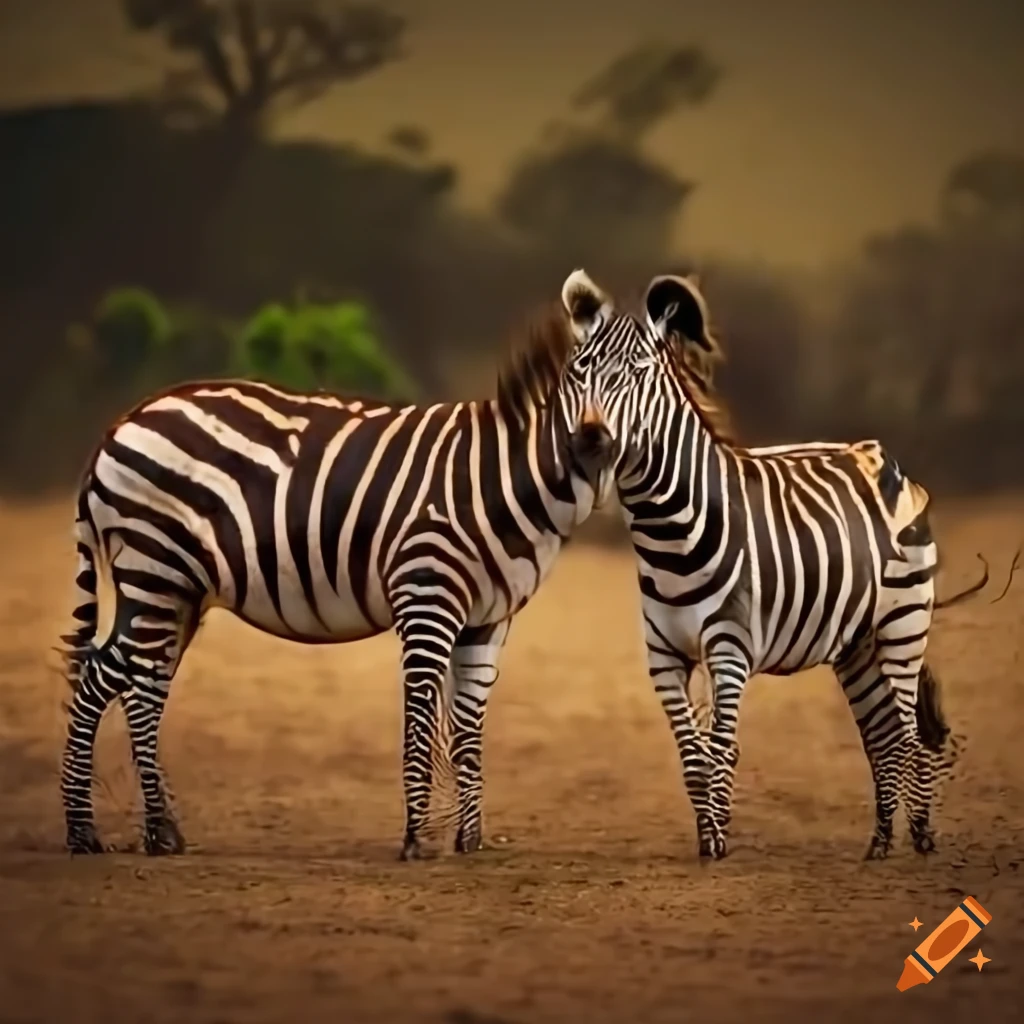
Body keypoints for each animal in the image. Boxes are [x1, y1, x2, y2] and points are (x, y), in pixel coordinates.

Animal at [58, 311, 615, 859]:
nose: (595, 446)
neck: (499, 481)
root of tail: (121, 425)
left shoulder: (489, 617)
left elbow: (467, 723)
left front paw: (469, 837)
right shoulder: (426, 595)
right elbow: (421, 713)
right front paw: (419, 837)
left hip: (173, 590)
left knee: (129, 680)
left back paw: (152, 831)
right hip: (155, 565)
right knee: (115, 677)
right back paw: (90, 831)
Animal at [557, 267, 988, 861]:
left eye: (640, 372)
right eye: (579, 372)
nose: (590, 440)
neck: (666, 531)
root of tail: (880, 455)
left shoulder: (730, 650)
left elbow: (720, 749)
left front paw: (718, 841)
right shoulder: (663, 658)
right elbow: (692, 757)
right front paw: (707, 837)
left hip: (902, 626)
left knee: (905, 735)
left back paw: (921, 837)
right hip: (855, 645)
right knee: (880, 738)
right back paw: (881, 841)